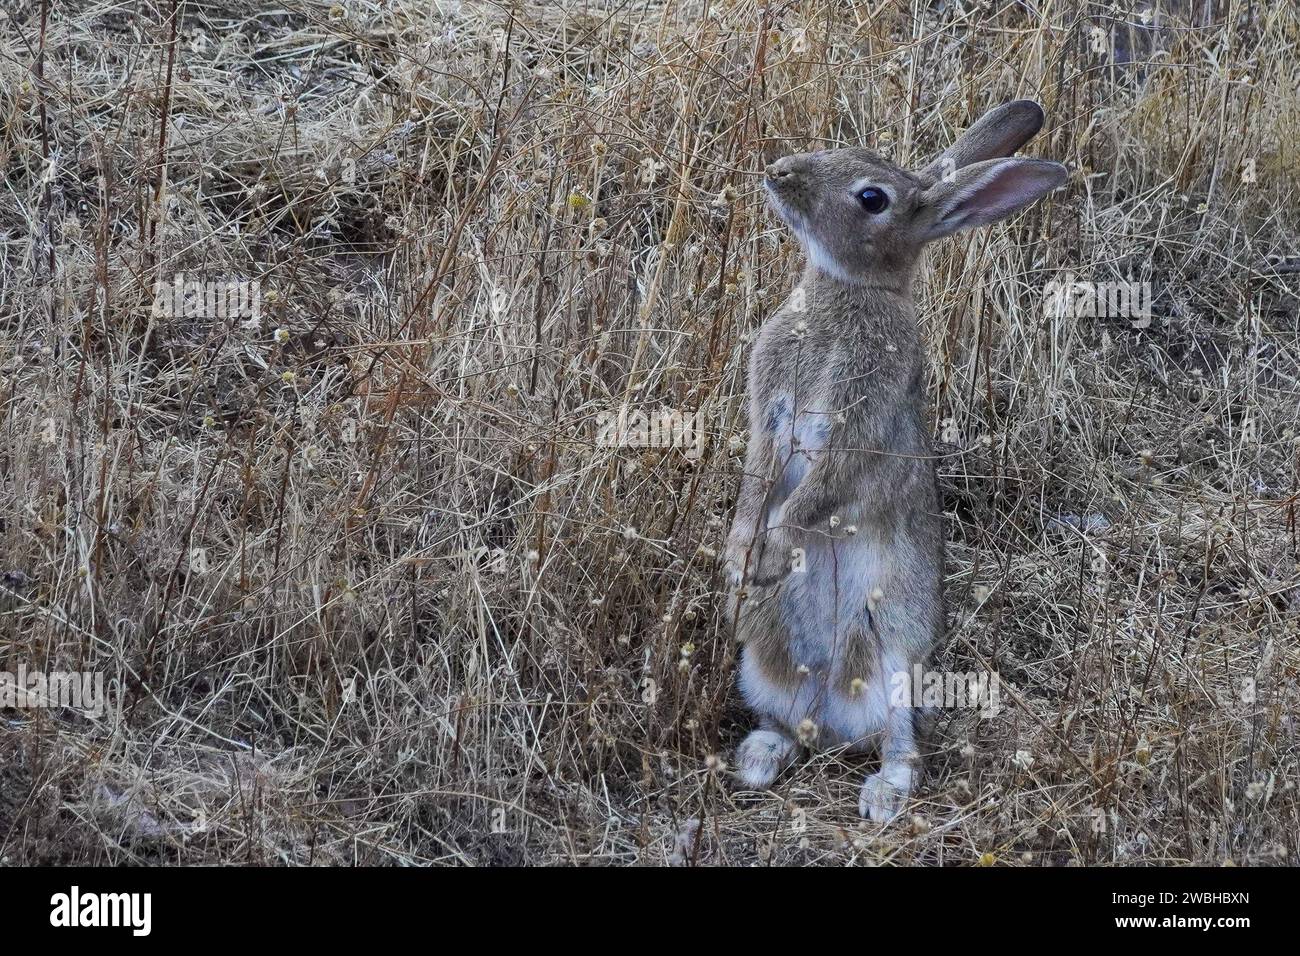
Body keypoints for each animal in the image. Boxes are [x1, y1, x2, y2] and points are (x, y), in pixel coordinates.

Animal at [723, 100, 1066, 821]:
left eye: (872, 199)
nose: (780, 171)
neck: (850, 289)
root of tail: (826, 720)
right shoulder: (769, 414)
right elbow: (758, 476)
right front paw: (742, 554)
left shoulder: (860, 424)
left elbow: (817, 491)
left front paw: (771, 550)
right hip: (763, 661)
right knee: (780, 719)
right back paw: (760, 758)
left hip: (894, 660)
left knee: (899, 742)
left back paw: (882, 797)